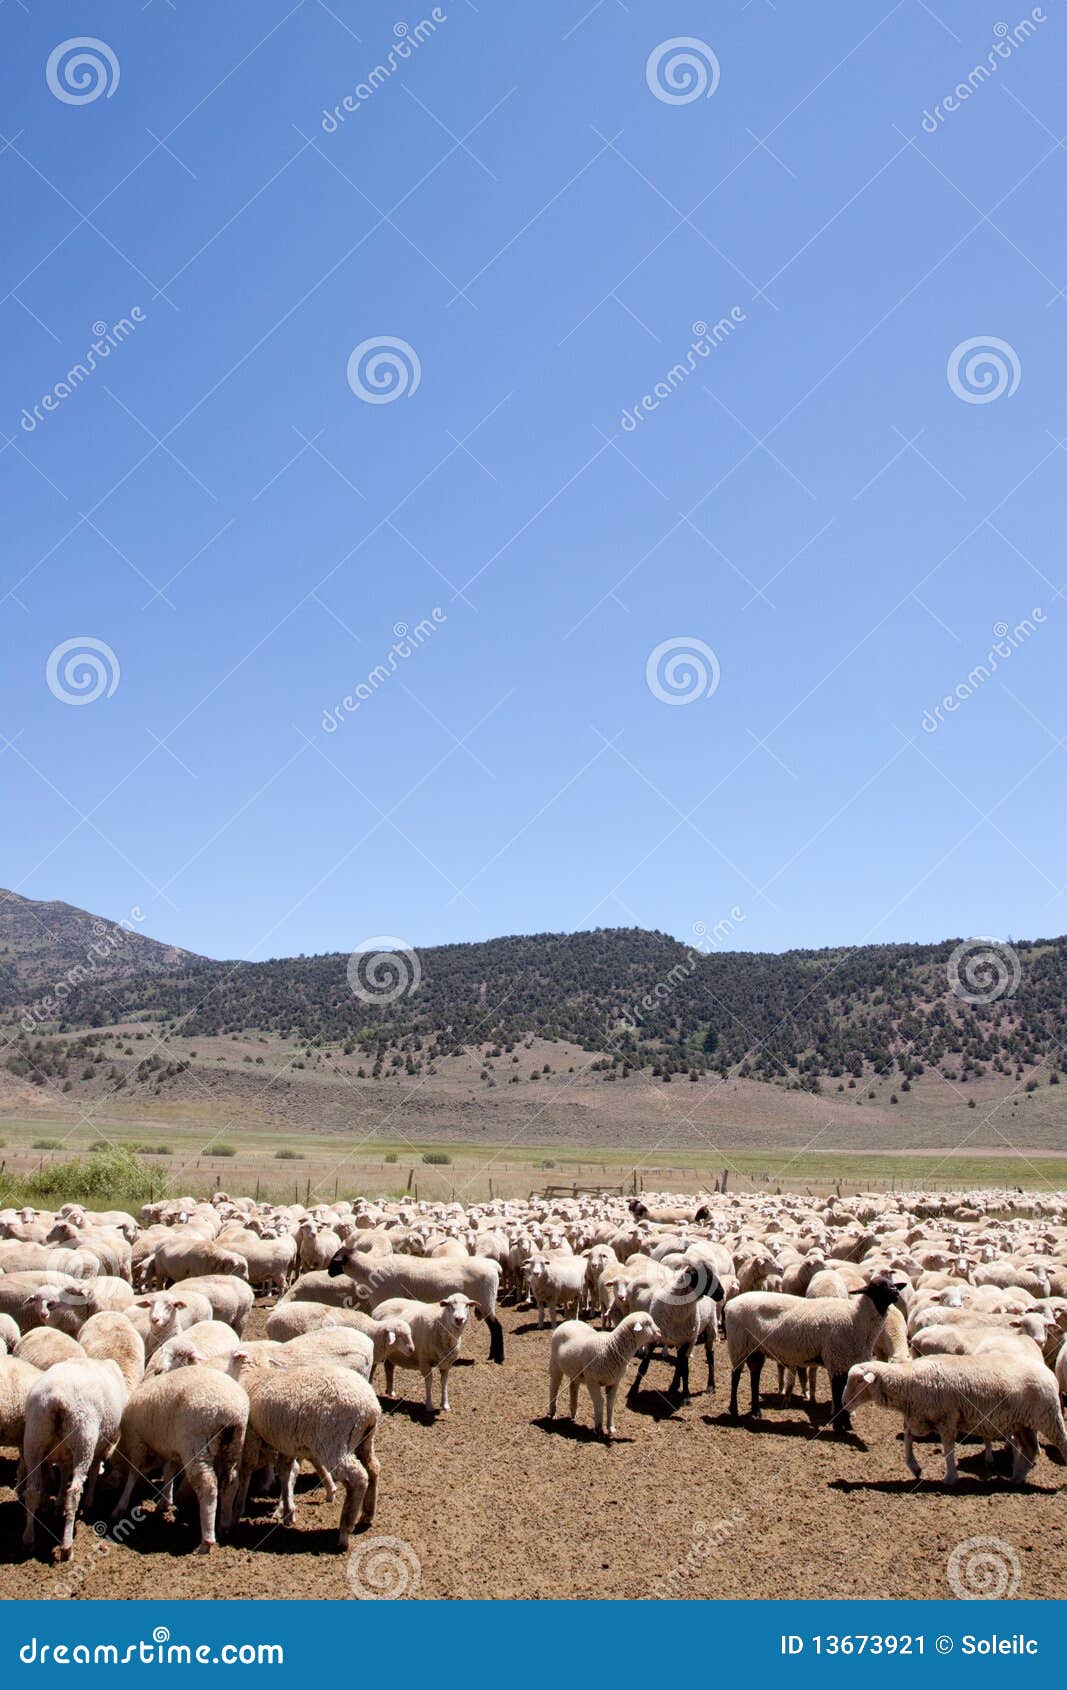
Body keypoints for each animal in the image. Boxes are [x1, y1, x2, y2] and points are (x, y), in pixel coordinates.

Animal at [111, 1365, 248, 1552]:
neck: (123, 1444)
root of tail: (230, 1411)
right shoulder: (171, 1448)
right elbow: (168, 1472)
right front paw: (165, 1501)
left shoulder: (138, 1441)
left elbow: (134, 1473)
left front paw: (120, 1506)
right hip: (235, 1444)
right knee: (231, 1482)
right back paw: (225, 1524)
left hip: (196, 1445)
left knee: (208, 1487)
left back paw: (207, 1541)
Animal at [232, 1357, 380, 1549]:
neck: (256, 1374)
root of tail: (371, 1407)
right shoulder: (285, 1442)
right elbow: (286, 1472)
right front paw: (288, 1512)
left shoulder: (252, 1434)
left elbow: (246, 1471)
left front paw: (237, 1511)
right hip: (365, 1441)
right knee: (373, 1468)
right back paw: (368, 1514)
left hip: (335, 1441)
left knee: (358, 1478)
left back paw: (344, 1530)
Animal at [328, 1248, 504, 1364]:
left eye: (334, 1260)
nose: (329, 1272)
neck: (368, 1271)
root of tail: (493, 1266)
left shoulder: (385, 1299)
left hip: (486, 1300)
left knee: (496, 1327)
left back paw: (498, 1357)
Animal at [725, 1275, 906, 1430]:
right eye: (876, 1286)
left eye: (892, 1283)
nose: (896, 1293)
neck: (856, 1319)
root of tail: (730, 1304)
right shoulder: (836, 1360)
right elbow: (838, 1393)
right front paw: (839, 1426)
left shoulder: (847, 1362)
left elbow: (845, 1394)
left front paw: (846, 1424)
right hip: (738, 1344)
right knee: (735, 1376)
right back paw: (734, 1411)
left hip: (755, 1349)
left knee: (754, 1376)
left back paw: (756, 1411)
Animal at [844, 1354, 1067, 1485]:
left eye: (858, 1382)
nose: (844, 1403)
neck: (910, 1381)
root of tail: (1049, 1373)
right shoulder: (921, 1416)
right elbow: (907, 1436)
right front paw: (914, 1467)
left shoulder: (947, 1418)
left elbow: (948, 1448)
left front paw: (950, 1477)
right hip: (1023, 1423)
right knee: (1030, 1449)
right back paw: (1016, 1478)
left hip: (1048, 1417)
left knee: (1061, 1443)